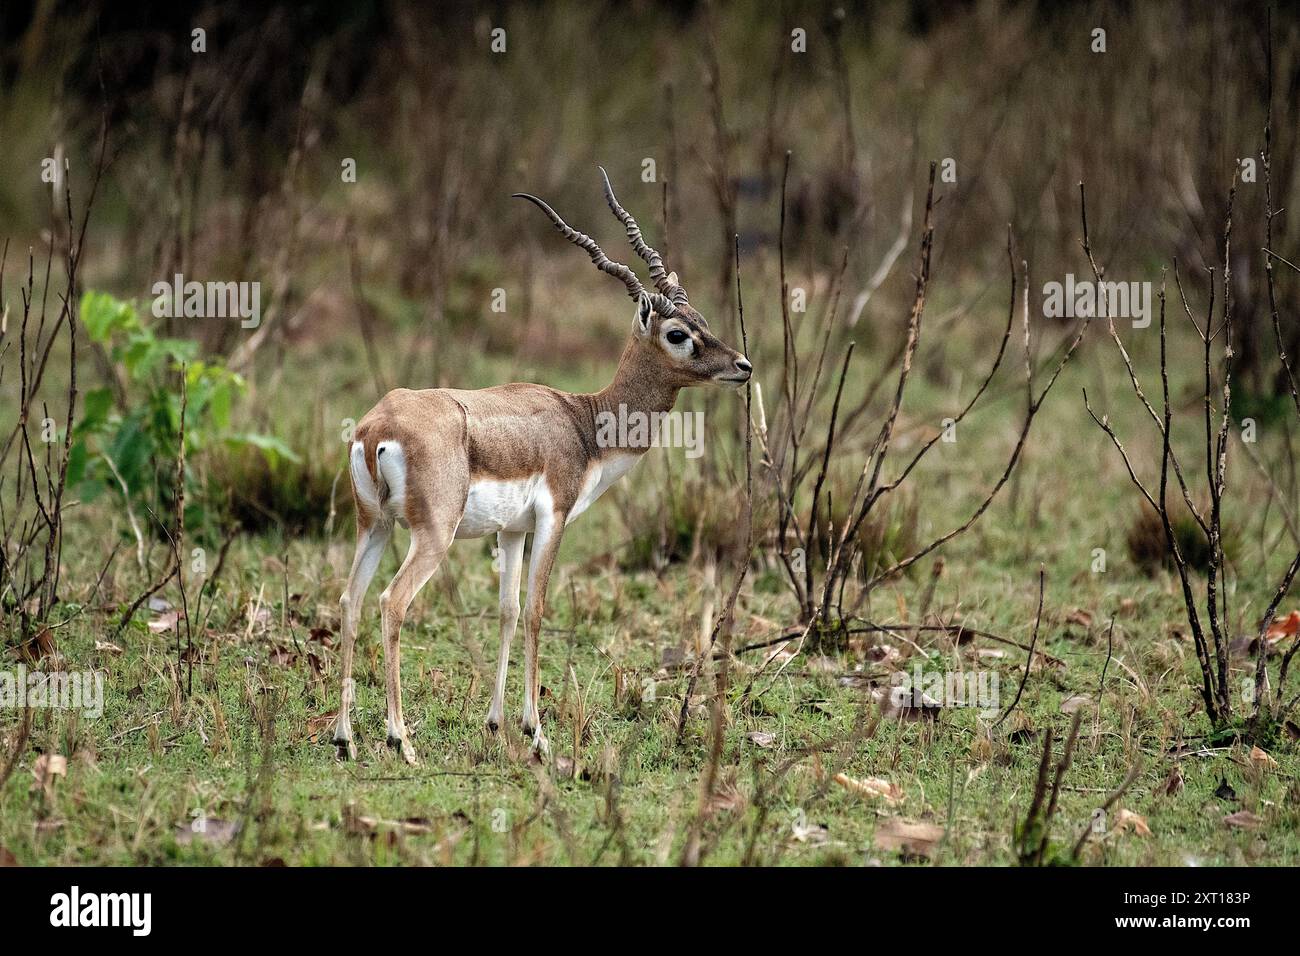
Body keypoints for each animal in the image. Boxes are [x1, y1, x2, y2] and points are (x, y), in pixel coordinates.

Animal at [333, 169, 752, 763]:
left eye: (702, 321)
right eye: (677, 334)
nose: (742, 365)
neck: (585, 420)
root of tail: (377, 427)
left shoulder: (510, 531)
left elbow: (507, 611)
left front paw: (496, 723)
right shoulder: (554, 519)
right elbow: (535, 610)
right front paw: (537, 732)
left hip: (375, 526)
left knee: (350, 601)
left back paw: (344, 736)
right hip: (431, 535)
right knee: (393, 603)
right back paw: (400, 740)